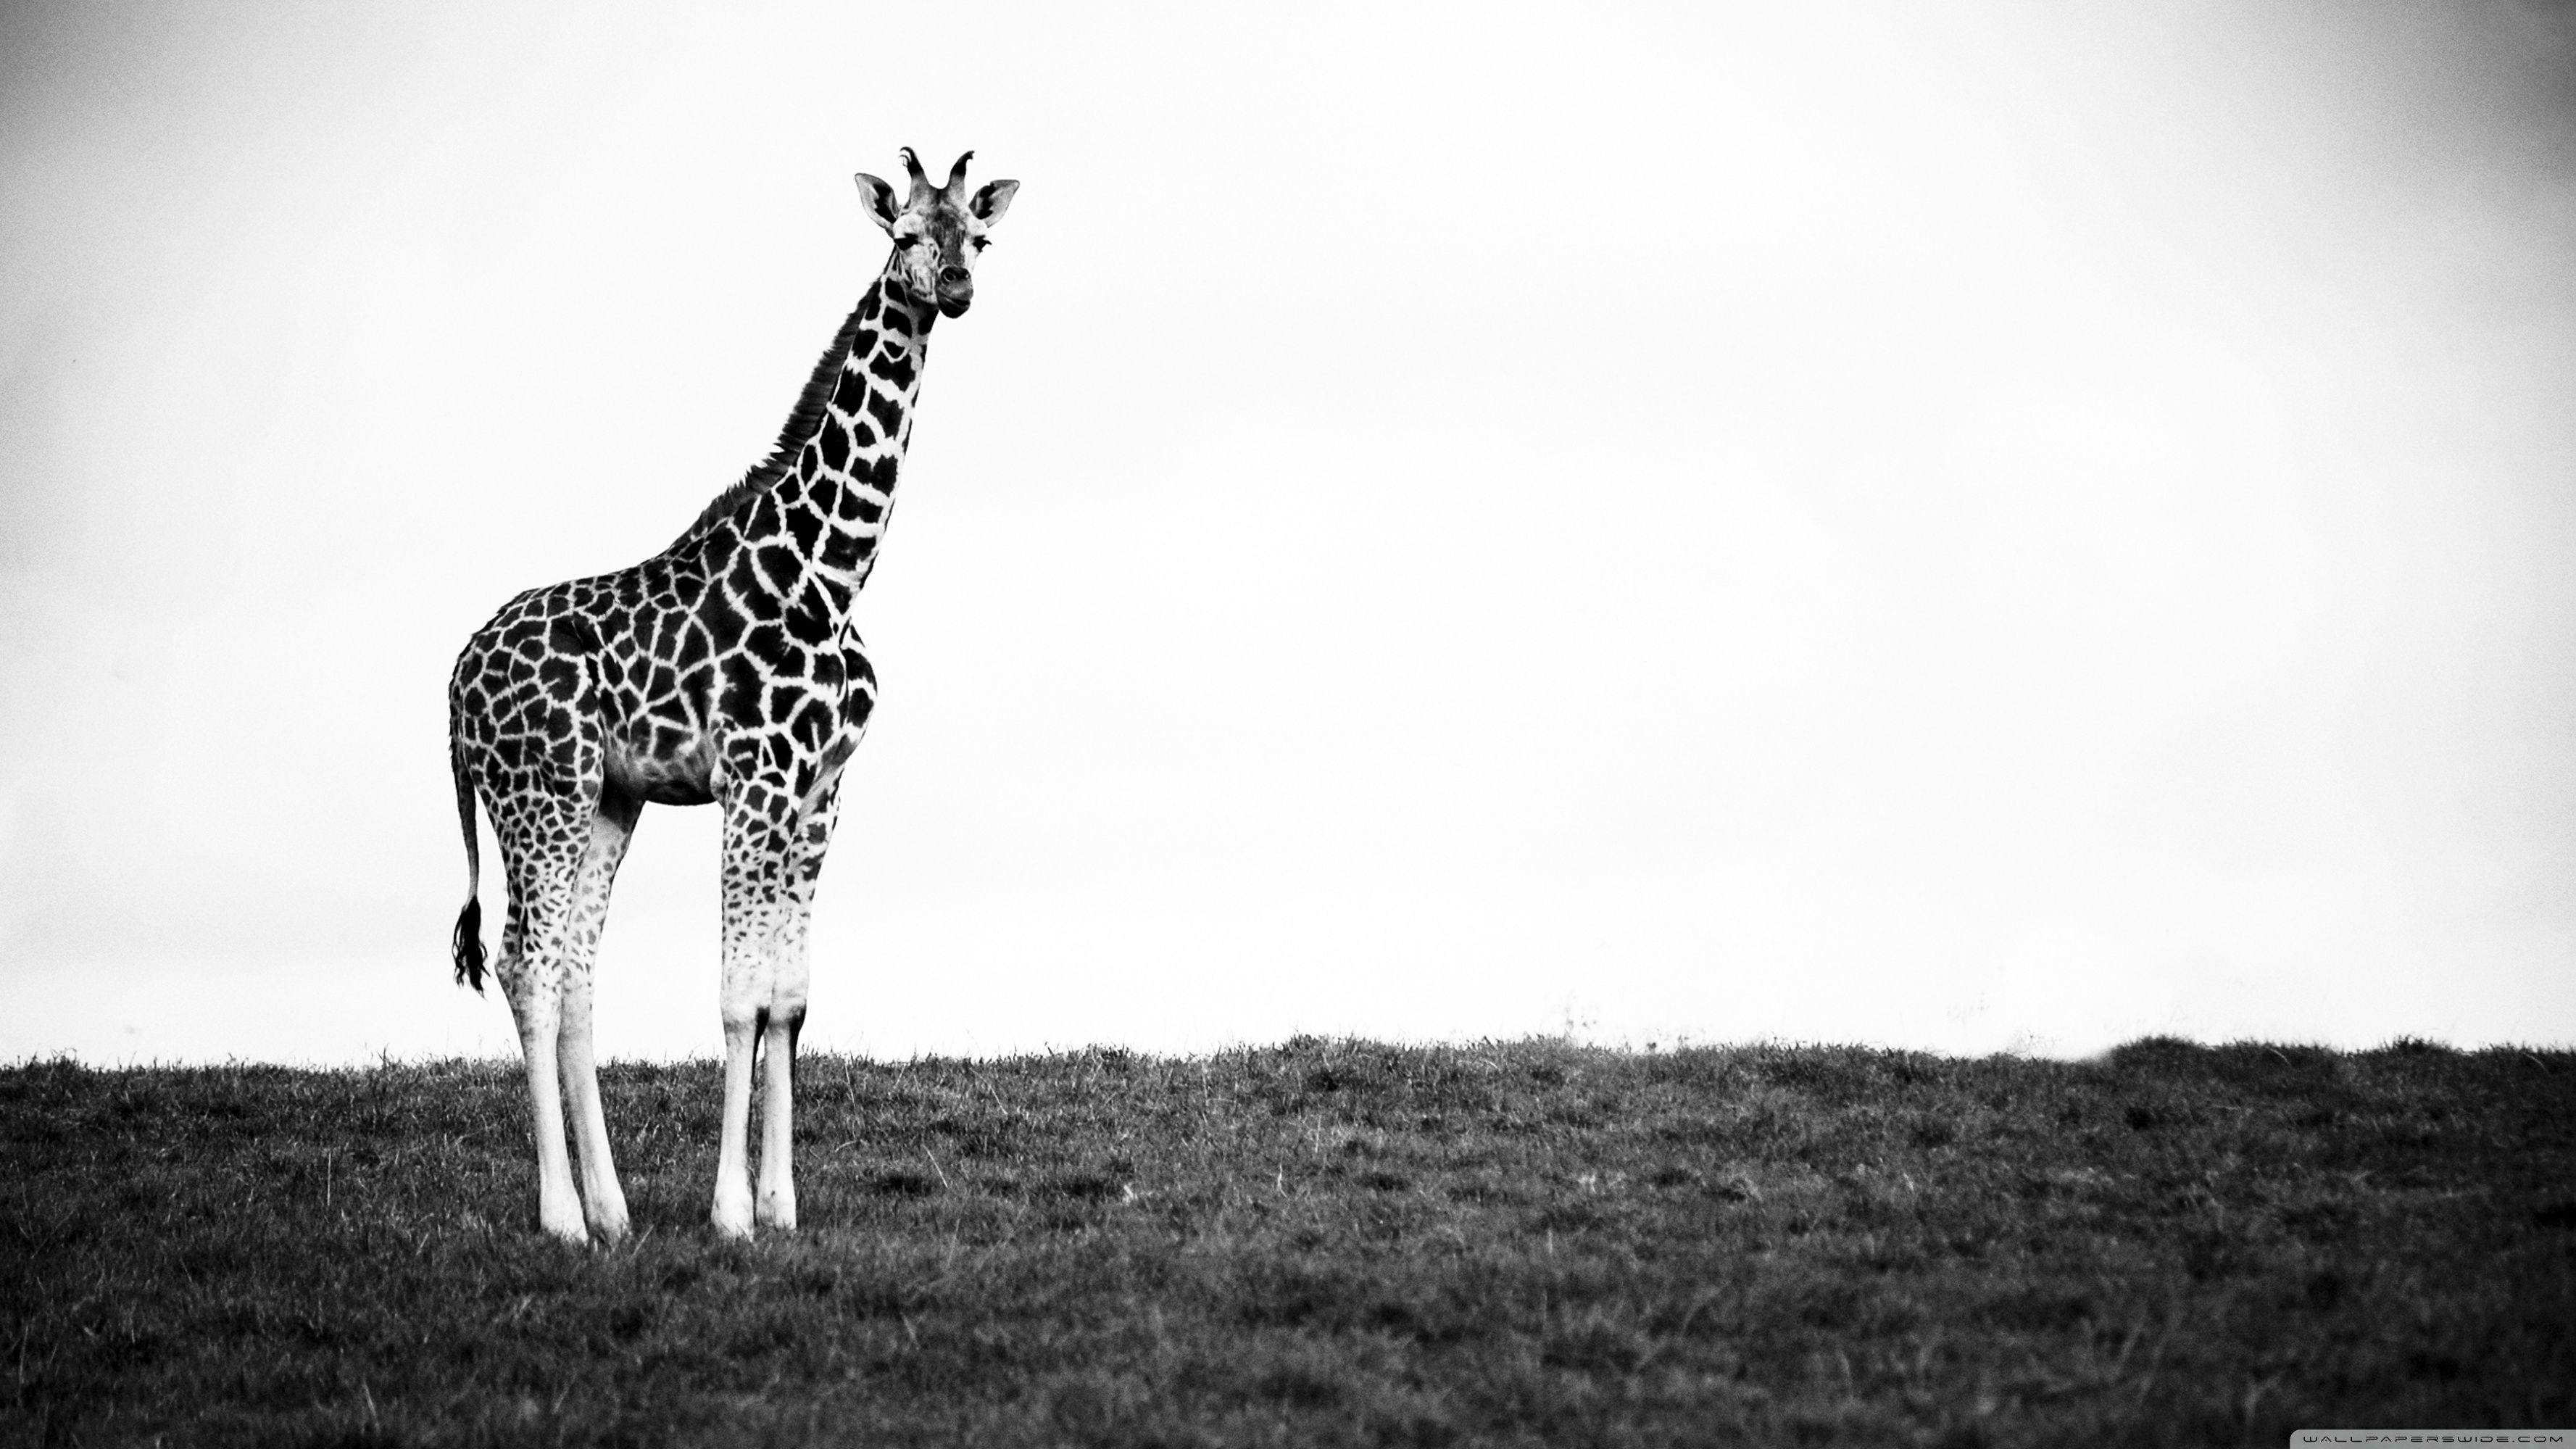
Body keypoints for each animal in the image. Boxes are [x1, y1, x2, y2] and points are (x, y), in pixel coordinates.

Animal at [445, 149, 1017, 1244]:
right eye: (902, 234)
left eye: (978, 233)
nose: (957, 290)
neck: (830, 572)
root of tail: (451, 685)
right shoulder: (755, 778)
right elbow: (737, 996)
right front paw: (731, 1212)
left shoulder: (820, 787)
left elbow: (788, 999)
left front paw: (781, 1206)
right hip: (538, 793)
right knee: (526, 964)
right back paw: (562, 1217)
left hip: (605, 800)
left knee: (575, 970)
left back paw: (614, 1212)